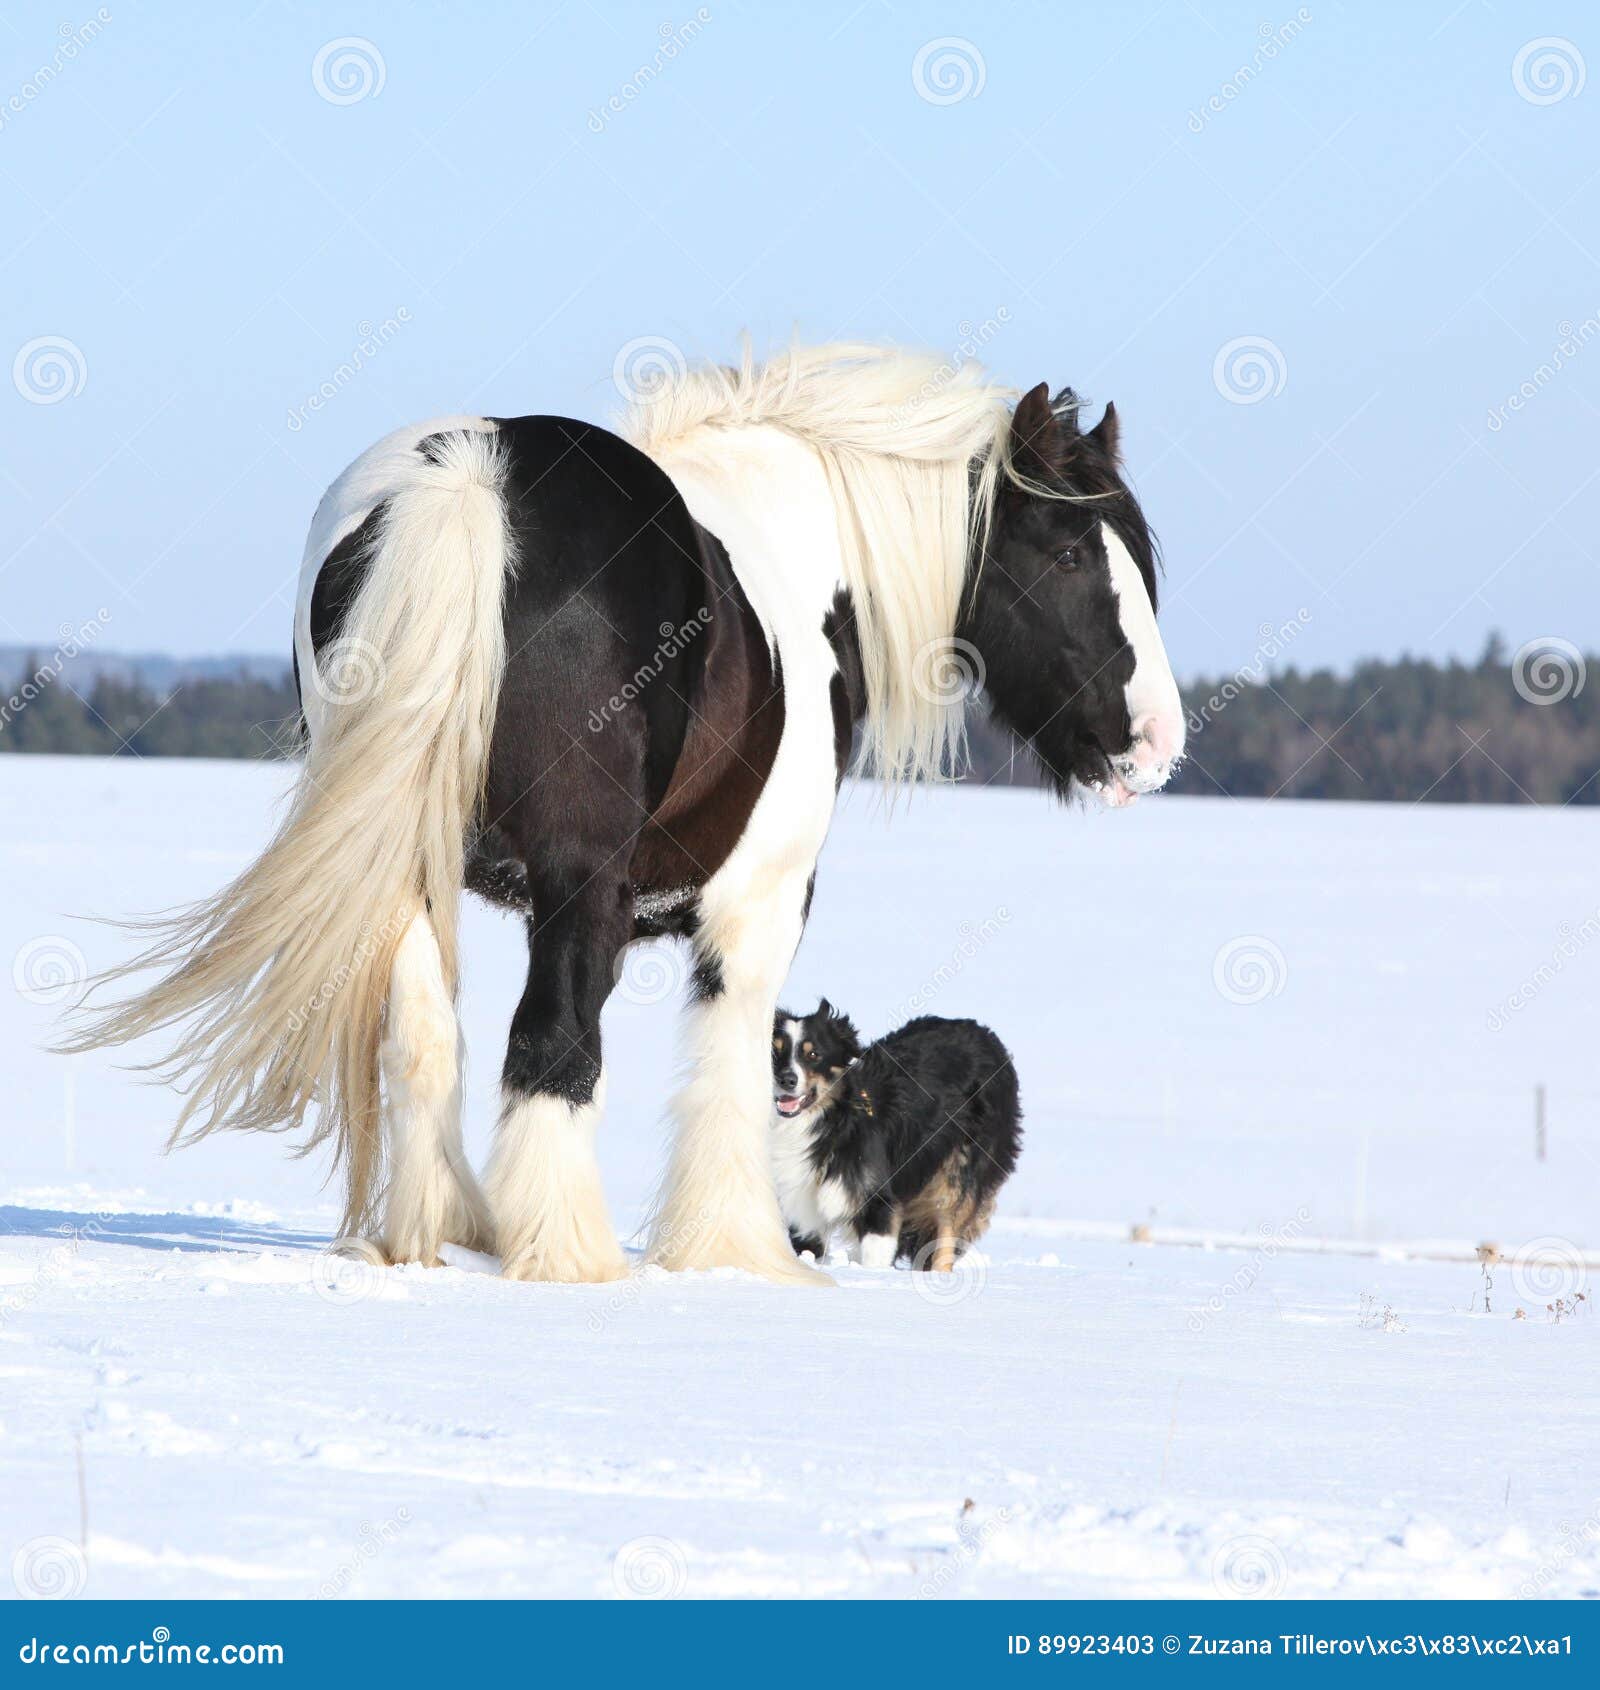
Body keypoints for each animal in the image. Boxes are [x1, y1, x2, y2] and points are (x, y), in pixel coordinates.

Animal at [65, 343, 1184, 1287]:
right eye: (1072, 552)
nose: (1157, 741)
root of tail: (473, 472)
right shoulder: (761, 899)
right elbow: (732, 1060)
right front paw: (736, 1254)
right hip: (577, 884)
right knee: (551, 1042)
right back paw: (569, 1256)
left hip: (412, 862)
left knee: (422, 1034)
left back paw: (432, 1234)